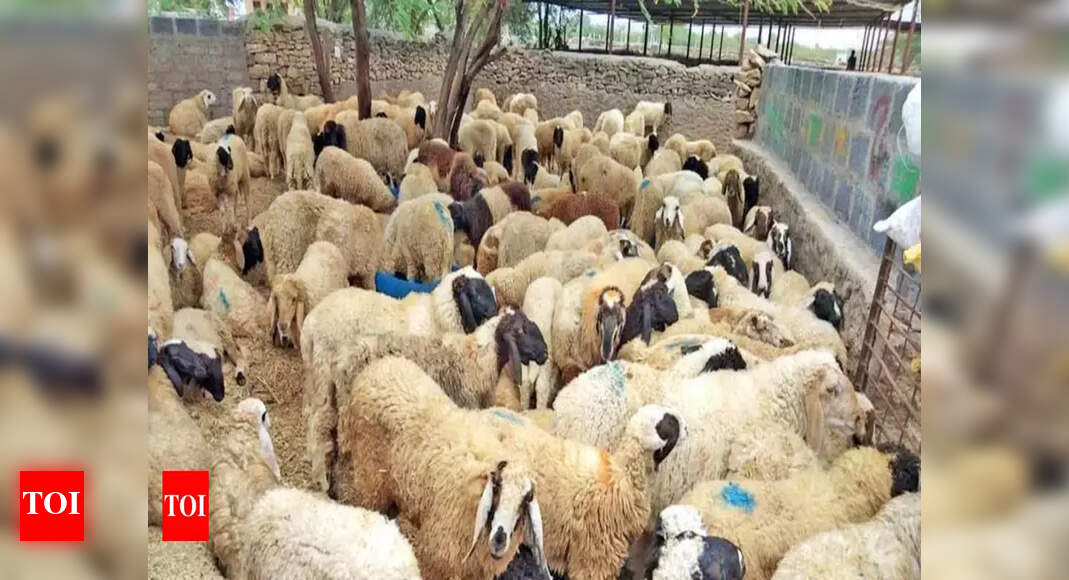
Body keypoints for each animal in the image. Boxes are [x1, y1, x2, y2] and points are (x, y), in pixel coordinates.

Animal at [338, 357, 550, 580]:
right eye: (496, 487)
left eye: (525, 501)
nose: (499, 539)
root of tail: (378, 366)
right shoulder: (436, 558)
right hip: (370, 475)